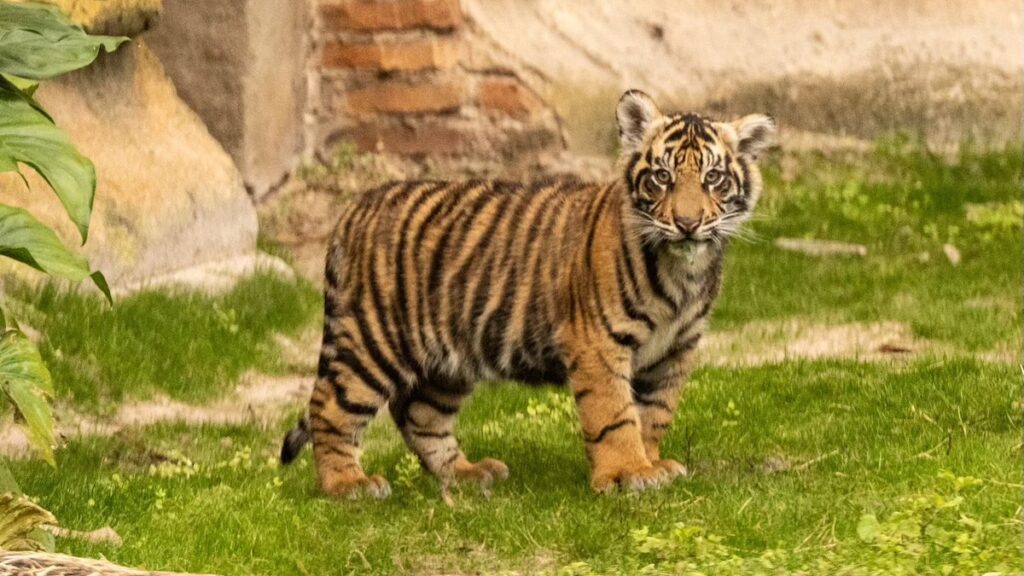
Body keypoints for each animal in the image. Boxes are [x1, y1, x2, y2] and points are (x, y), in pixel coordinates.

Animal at [279, 89, 775, 498]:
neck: (683, 272)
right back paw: (348, 485)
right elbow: (615, 414)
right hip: (375, 340)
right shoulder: (598, 343)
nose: (687, 224)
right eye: (661, 177)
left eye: (713, 179)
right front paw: (627, 474)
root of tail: (353, 209)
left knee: (418, 414)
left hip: (446, 359)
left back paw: (467, 475)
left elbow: (654, 413)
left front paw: (652, 463)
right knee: (329, 408)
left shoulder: (675, 350)